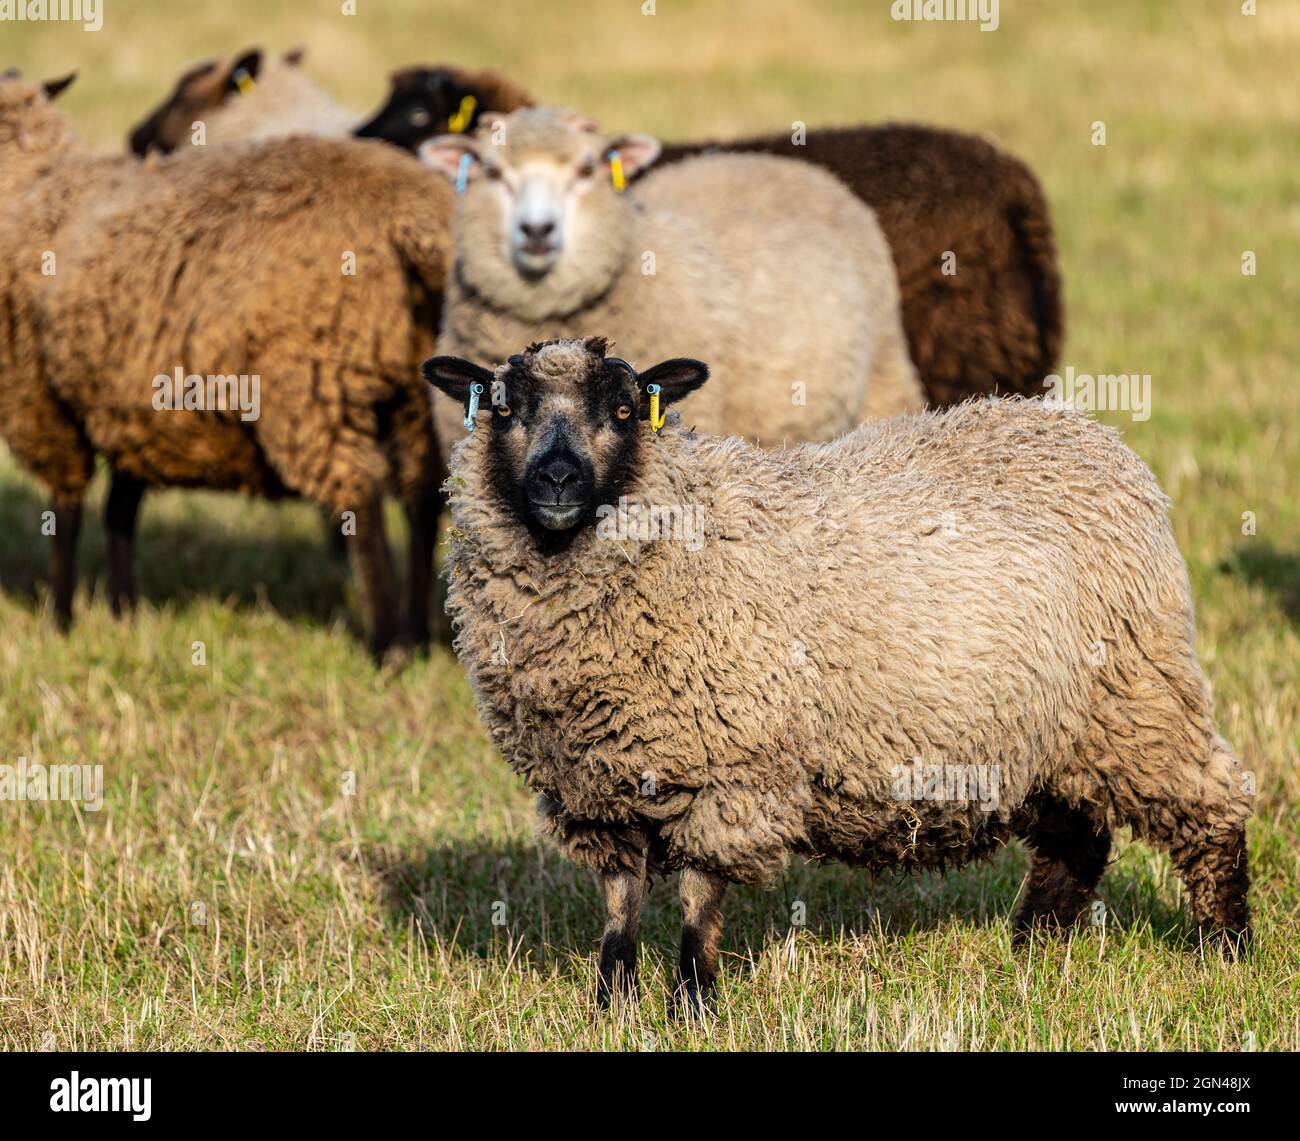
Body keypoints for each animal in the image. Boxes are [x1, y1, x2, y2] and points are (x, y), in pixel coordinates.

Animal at [0, 72, 453, 657]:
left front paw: (61, 621)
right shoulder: (135, 406)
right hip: (417, 392)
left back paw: (387, 644)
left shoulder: (39, 401)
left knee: (361, 494)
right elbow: (120, 510)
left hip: (312, 382)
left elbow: (67, 513)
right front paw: (125, 613)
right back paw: (418, 634)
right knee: (421, 498)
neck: (34, 181)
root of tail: (413, 219)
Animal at [424, 336, 1253, 1008]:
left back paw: (1226, 946)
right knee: (1078, 836)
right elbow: (621, 902)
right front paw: (613, 1002)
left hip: (1138, 696)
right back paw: (1031, 947)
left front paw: (693, 1001)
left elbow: (697, 898)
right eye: (504, 407)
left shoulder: (731, 769)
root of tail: (1091, 434)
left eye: (625, 410)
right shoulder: (601, 784)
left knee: (1212, 804)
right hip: (1043, 731)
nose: (559, 480)